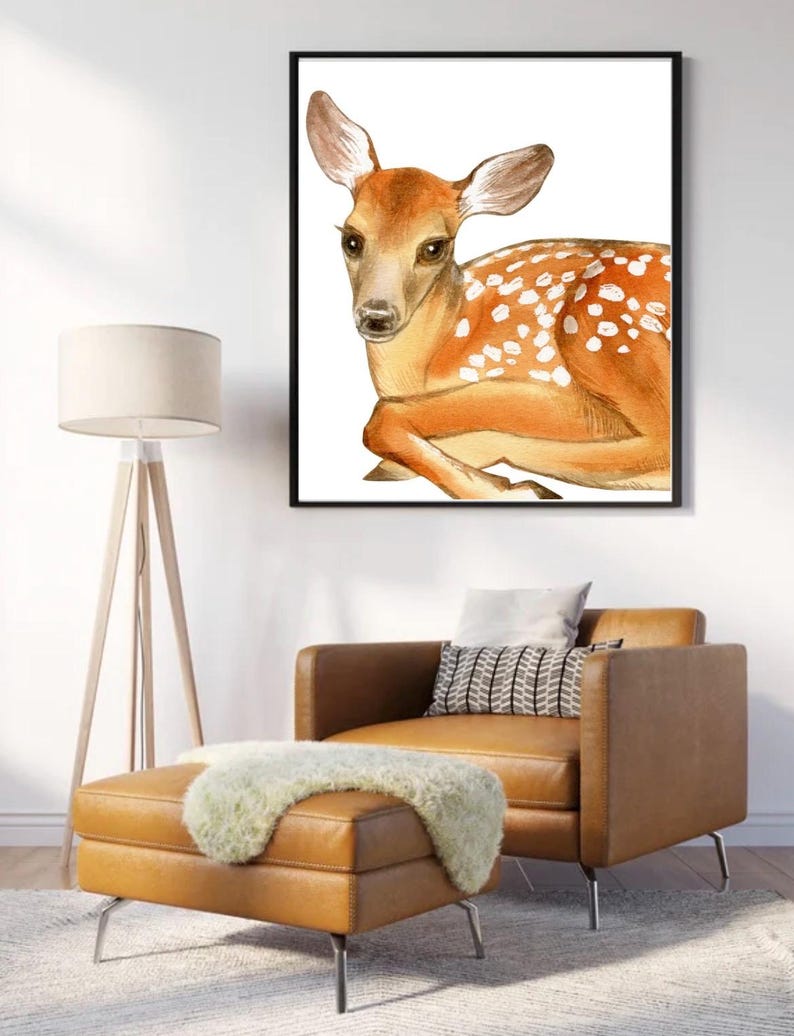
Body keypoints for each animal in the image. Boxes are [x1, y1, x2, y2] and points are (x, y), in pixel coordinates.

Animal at [305, 91, 672, 501]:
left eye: (433, 247)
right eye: (351, 239)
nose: (376, 316)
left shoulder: (551, 386)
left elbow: (382, 418)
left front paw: (508, 488)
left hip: (602, 332)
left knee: (658, 442)